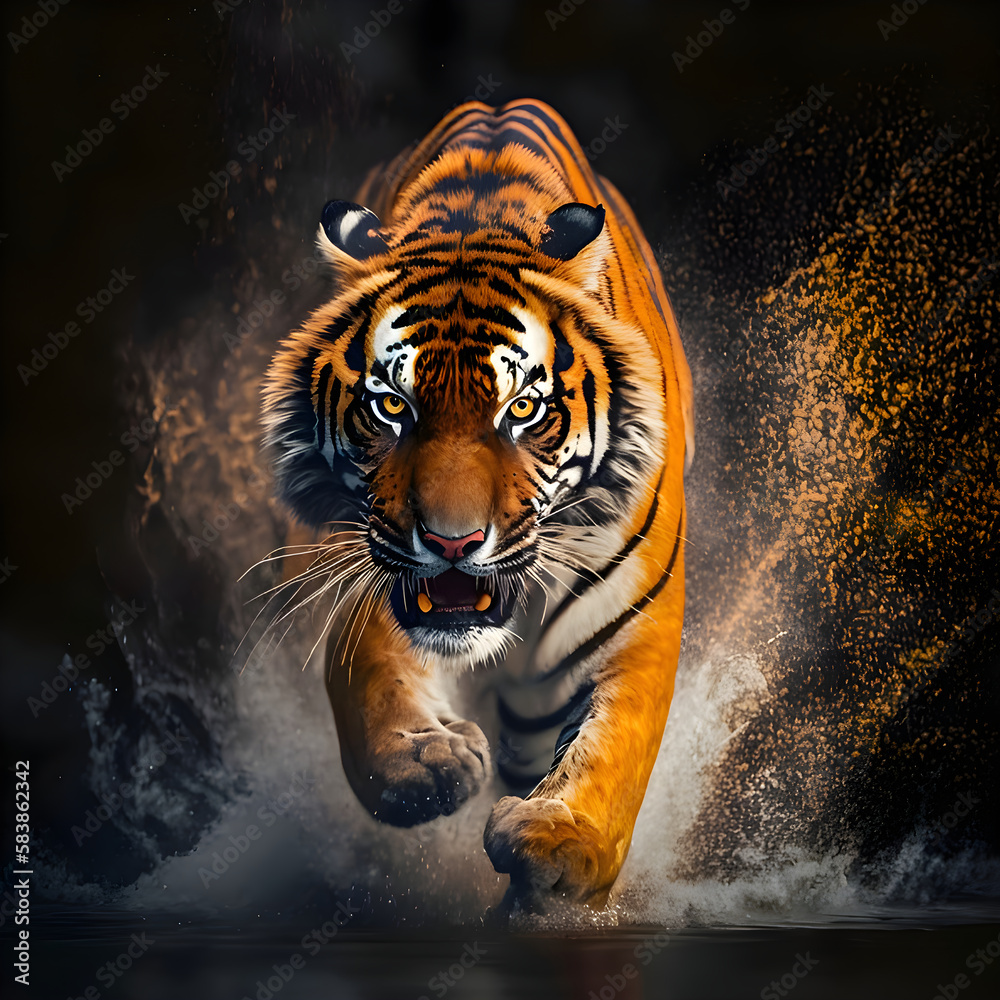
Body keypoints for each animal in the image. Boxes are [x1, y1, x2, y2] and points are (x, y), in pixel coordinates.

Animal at [262, 99, 693, 910]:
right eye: (392, 406)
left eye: (522, 408)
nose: (453, 543)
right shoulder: (356, 554)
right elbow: (369, 670)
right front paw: (421, 764)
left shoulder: (636, 610)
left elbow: (618, 738)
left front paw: (561, 840)